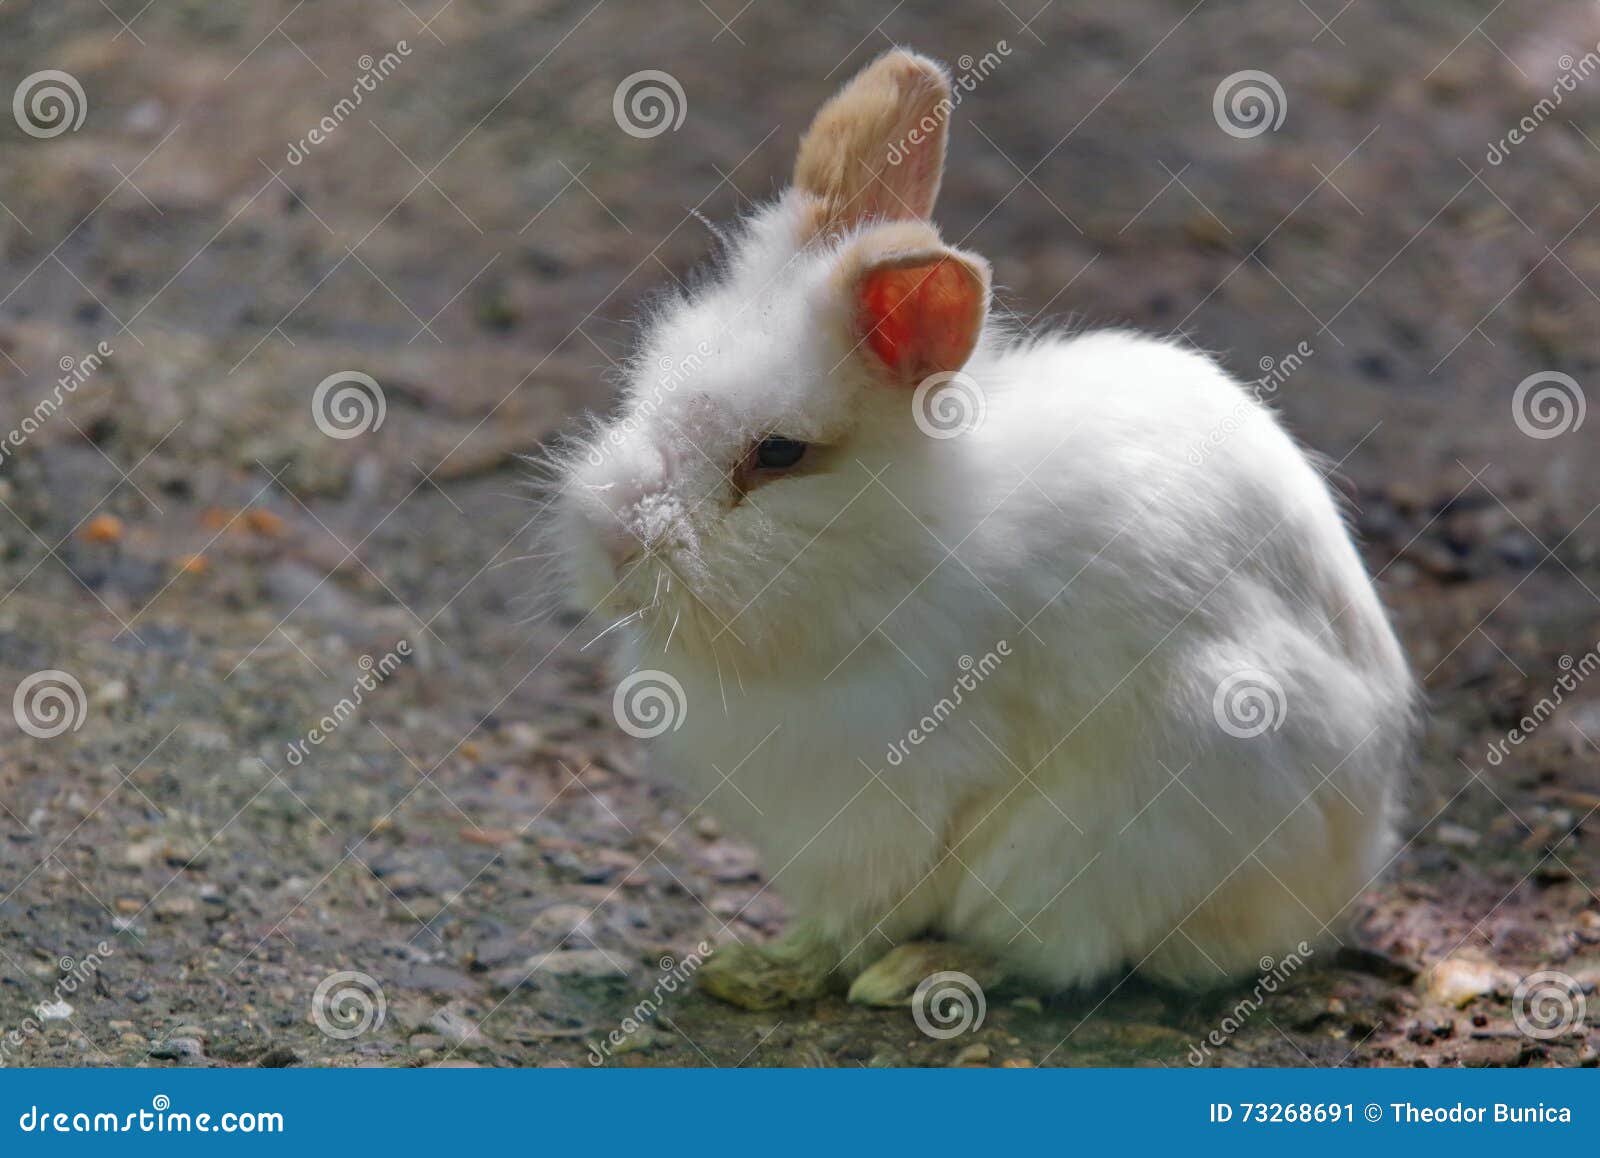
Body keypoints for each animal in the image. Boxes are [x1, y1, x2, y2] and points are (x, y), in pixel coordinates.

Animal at [554, 48, 1416, 1009]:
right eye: (647, 380)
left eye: (777, 453)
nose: (614, 545)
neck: (900, 559)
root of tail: (1343, 876)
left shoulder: (887, 807)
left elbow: (852, 921)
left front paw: (770, 970)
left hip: (1118, 831)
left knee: (1064, 953)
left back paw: (921, 972)